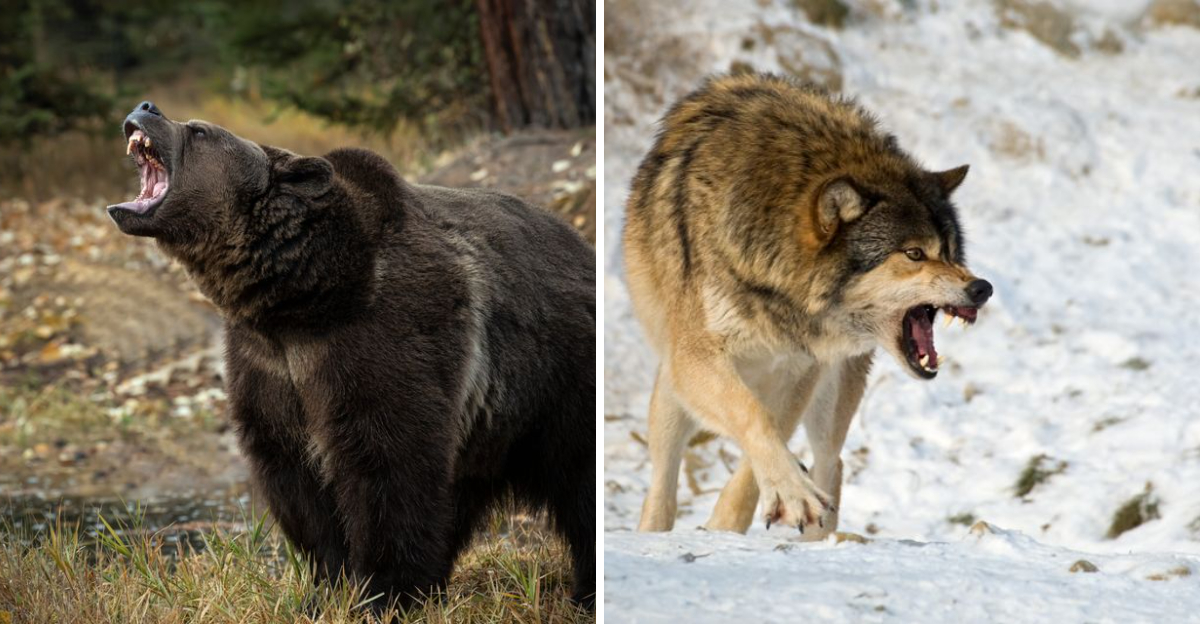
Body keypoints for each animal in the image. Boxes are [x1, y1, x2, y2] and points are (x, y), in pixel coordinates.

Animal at [106, 100, 596, 611]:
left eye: (199, 130)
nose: (146, 106)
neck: (301, 299)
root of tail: (583, 244)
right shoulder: (268, 365)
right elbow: (294, 476)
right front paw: (328, 585)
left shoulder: (381, 339)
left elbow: (388, 463)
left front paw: (384, 592)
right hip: (491, 426)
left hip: (558, 380)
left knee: (579, 484)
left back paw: (585, 589)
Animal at [623, 73, 993, 539]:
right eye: (914, 254)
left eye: (951, 252)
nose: (982, 288)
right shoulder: (695, 359)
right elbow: (754, 420)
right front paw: (789, 496)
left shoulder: (801, 369)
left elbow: (761, 452)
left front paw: (737, 522)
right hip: (672, 393)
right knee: (662, 477)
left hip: (831, 393)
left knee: (831, 462)